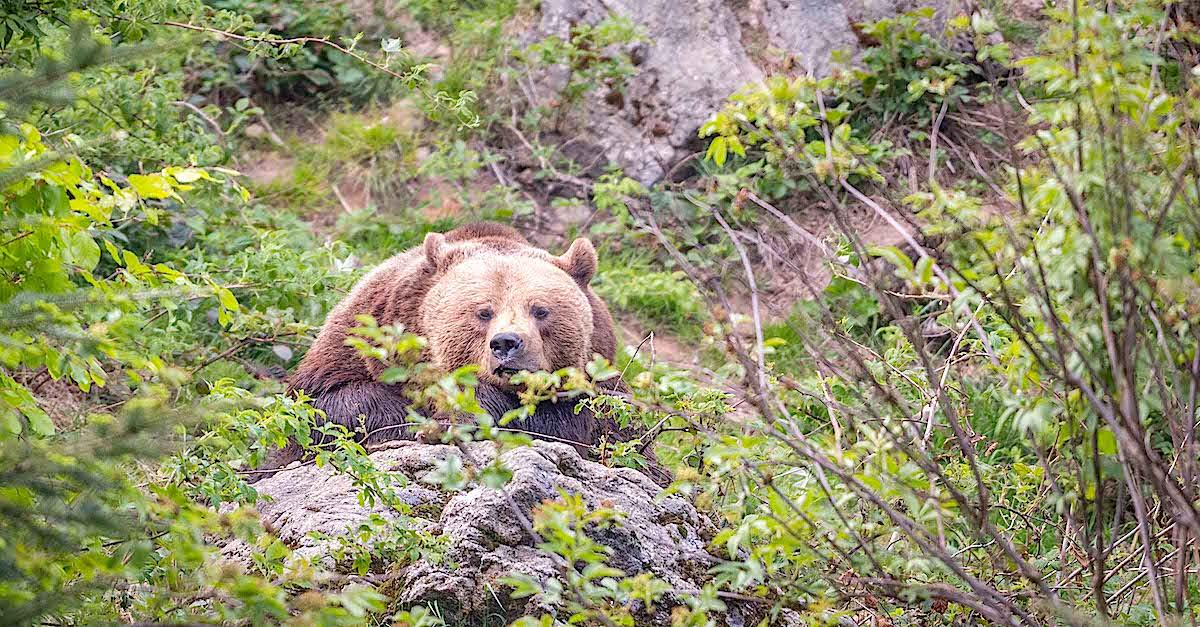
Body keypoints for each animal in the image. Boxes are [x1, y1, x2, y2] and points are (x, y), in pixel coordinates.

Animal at [258, 222, 650, 477]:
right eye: (483, 311)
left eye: (540, 310)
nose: (507, 343)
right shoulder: (357, 340)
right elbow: (326, 408)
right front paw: (420, 424)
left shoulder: (601, 387)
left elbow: (571, 424)